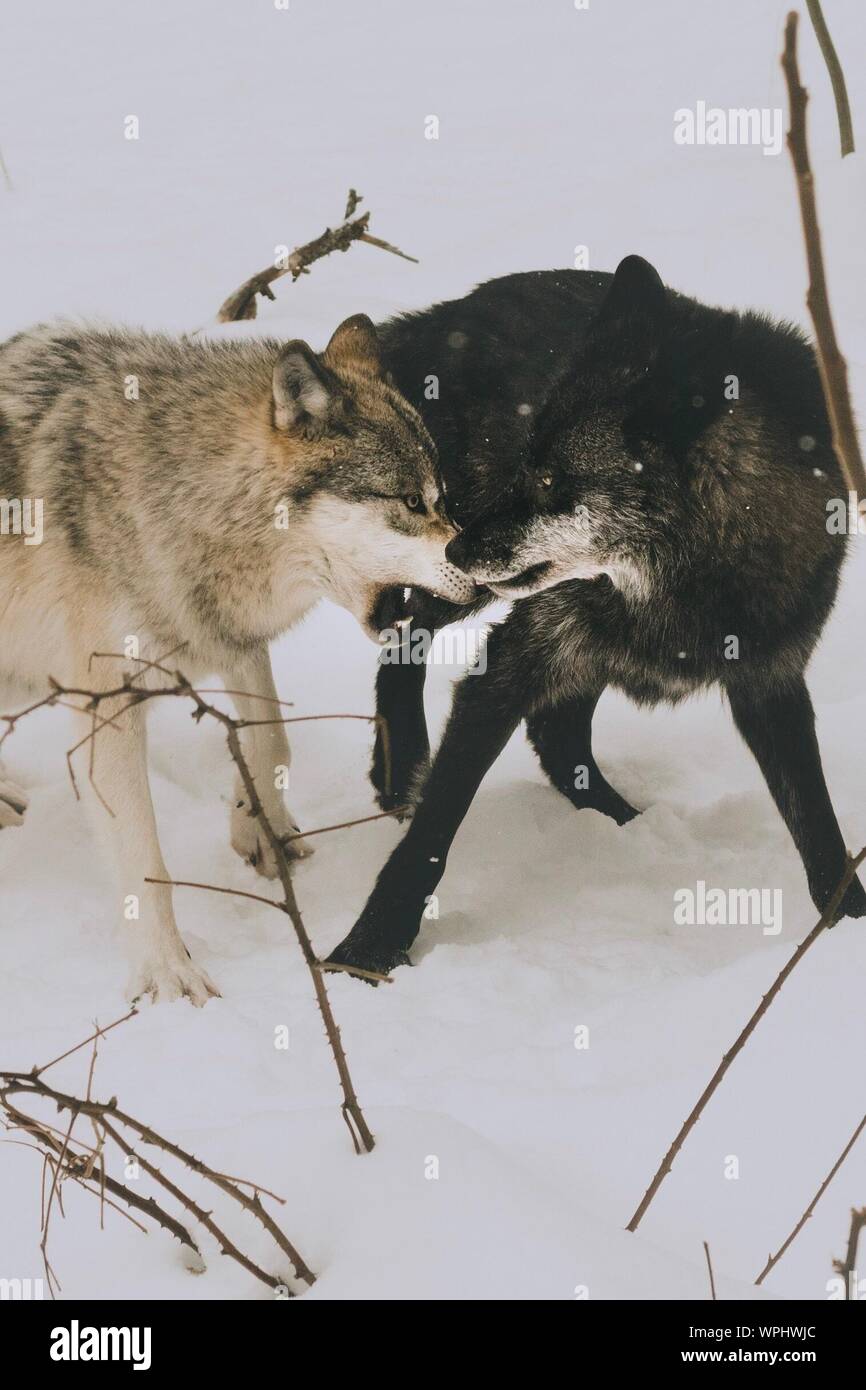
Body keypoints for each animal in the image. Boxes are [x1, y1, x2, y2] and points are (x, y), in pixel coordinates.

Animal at [0, 313, 475, 1003]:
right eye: (410, 502)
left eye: (441, 498)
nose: (485, 577)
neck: (180, 494)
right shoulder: (109, 701)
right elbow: (143, 857)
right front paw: (167, 977)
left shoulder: (228, 636)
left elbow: (273, 737)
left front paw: (258, 824)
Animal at [329, 255, 866, 975]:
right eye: (526, 458)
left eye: (551, 480)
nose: (456, 546)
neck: (685, 586)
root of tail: (447, 313)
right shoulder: (515, 658)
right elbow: (434, 828)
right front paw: (367, 952)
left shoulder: (770, 680)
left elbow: (818, 827)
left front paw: (846, 927)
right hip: (476, 595)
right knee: (404, 635)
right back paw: (401, 768)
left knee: (554, 730)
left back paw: (621, 822)